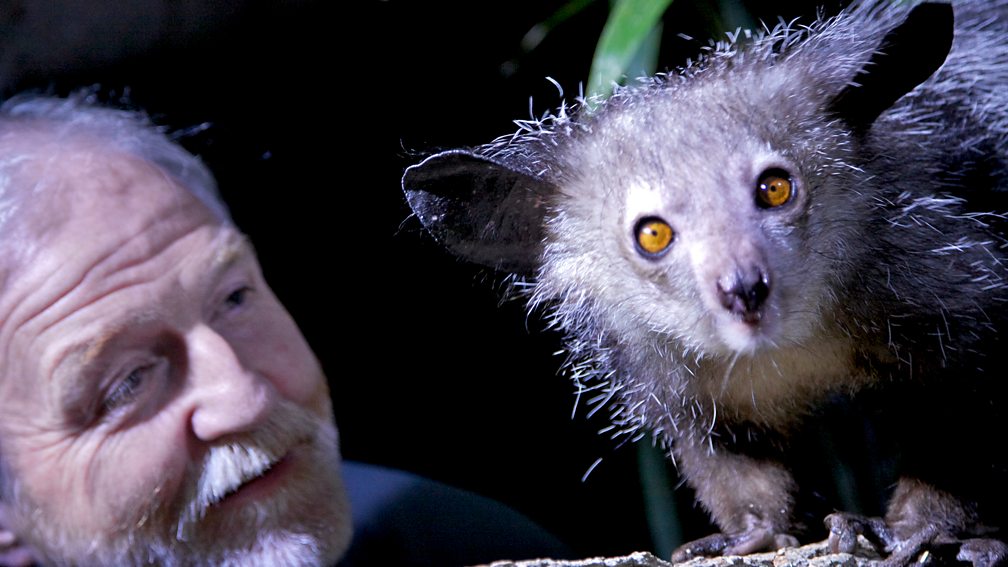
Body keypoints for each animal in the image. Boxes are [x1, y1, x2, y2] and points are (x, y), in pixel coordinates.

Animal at [402, 1, 1008, 565]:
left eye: (775, 188)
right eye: (652, 234)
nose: (744, 289)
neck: (796, 351)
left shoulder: (949, 289)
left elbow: (955, 433)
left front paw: (912, 527)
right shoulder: (677, 387)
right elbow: (731, 464)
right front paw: (754, 533)